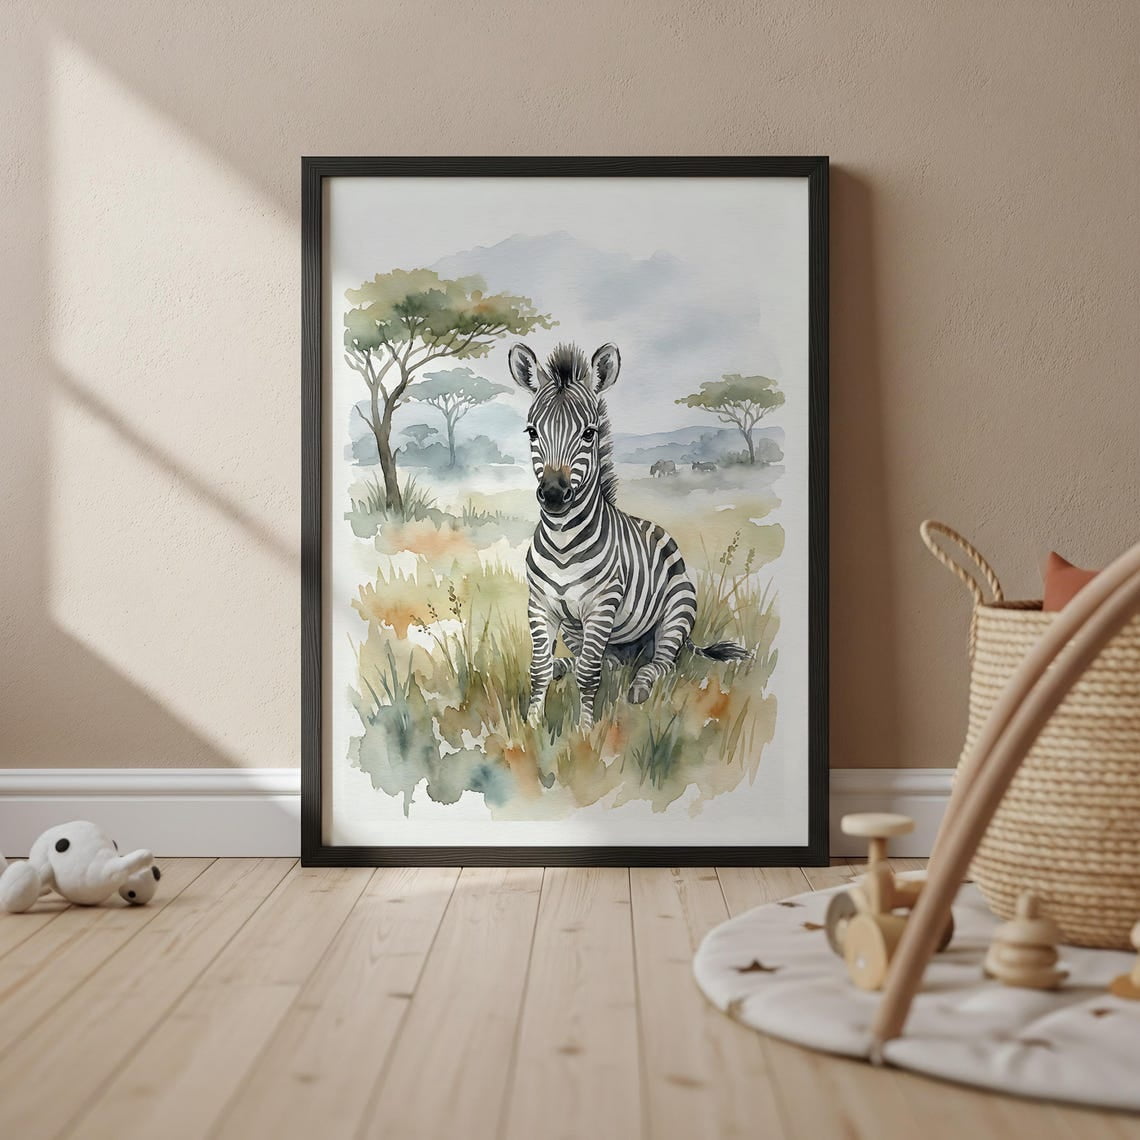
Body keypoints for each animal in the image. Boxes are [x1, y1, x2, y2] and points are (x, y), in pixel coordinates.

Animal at [507, 341, 751, 730]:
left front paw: (585, 732)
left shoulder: (602, 605)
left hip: (677, 611)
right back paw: (566, 666)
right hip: (577, 630)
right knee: (604, 662)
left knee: (659, 664)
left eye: (589, 433)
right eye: (532, 432)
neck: (563, 542)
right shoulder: (540, 605)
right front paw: (531, 726)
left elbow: (588, 675)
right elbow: (539, 669)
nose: (554, 495)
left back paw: (638, 688)